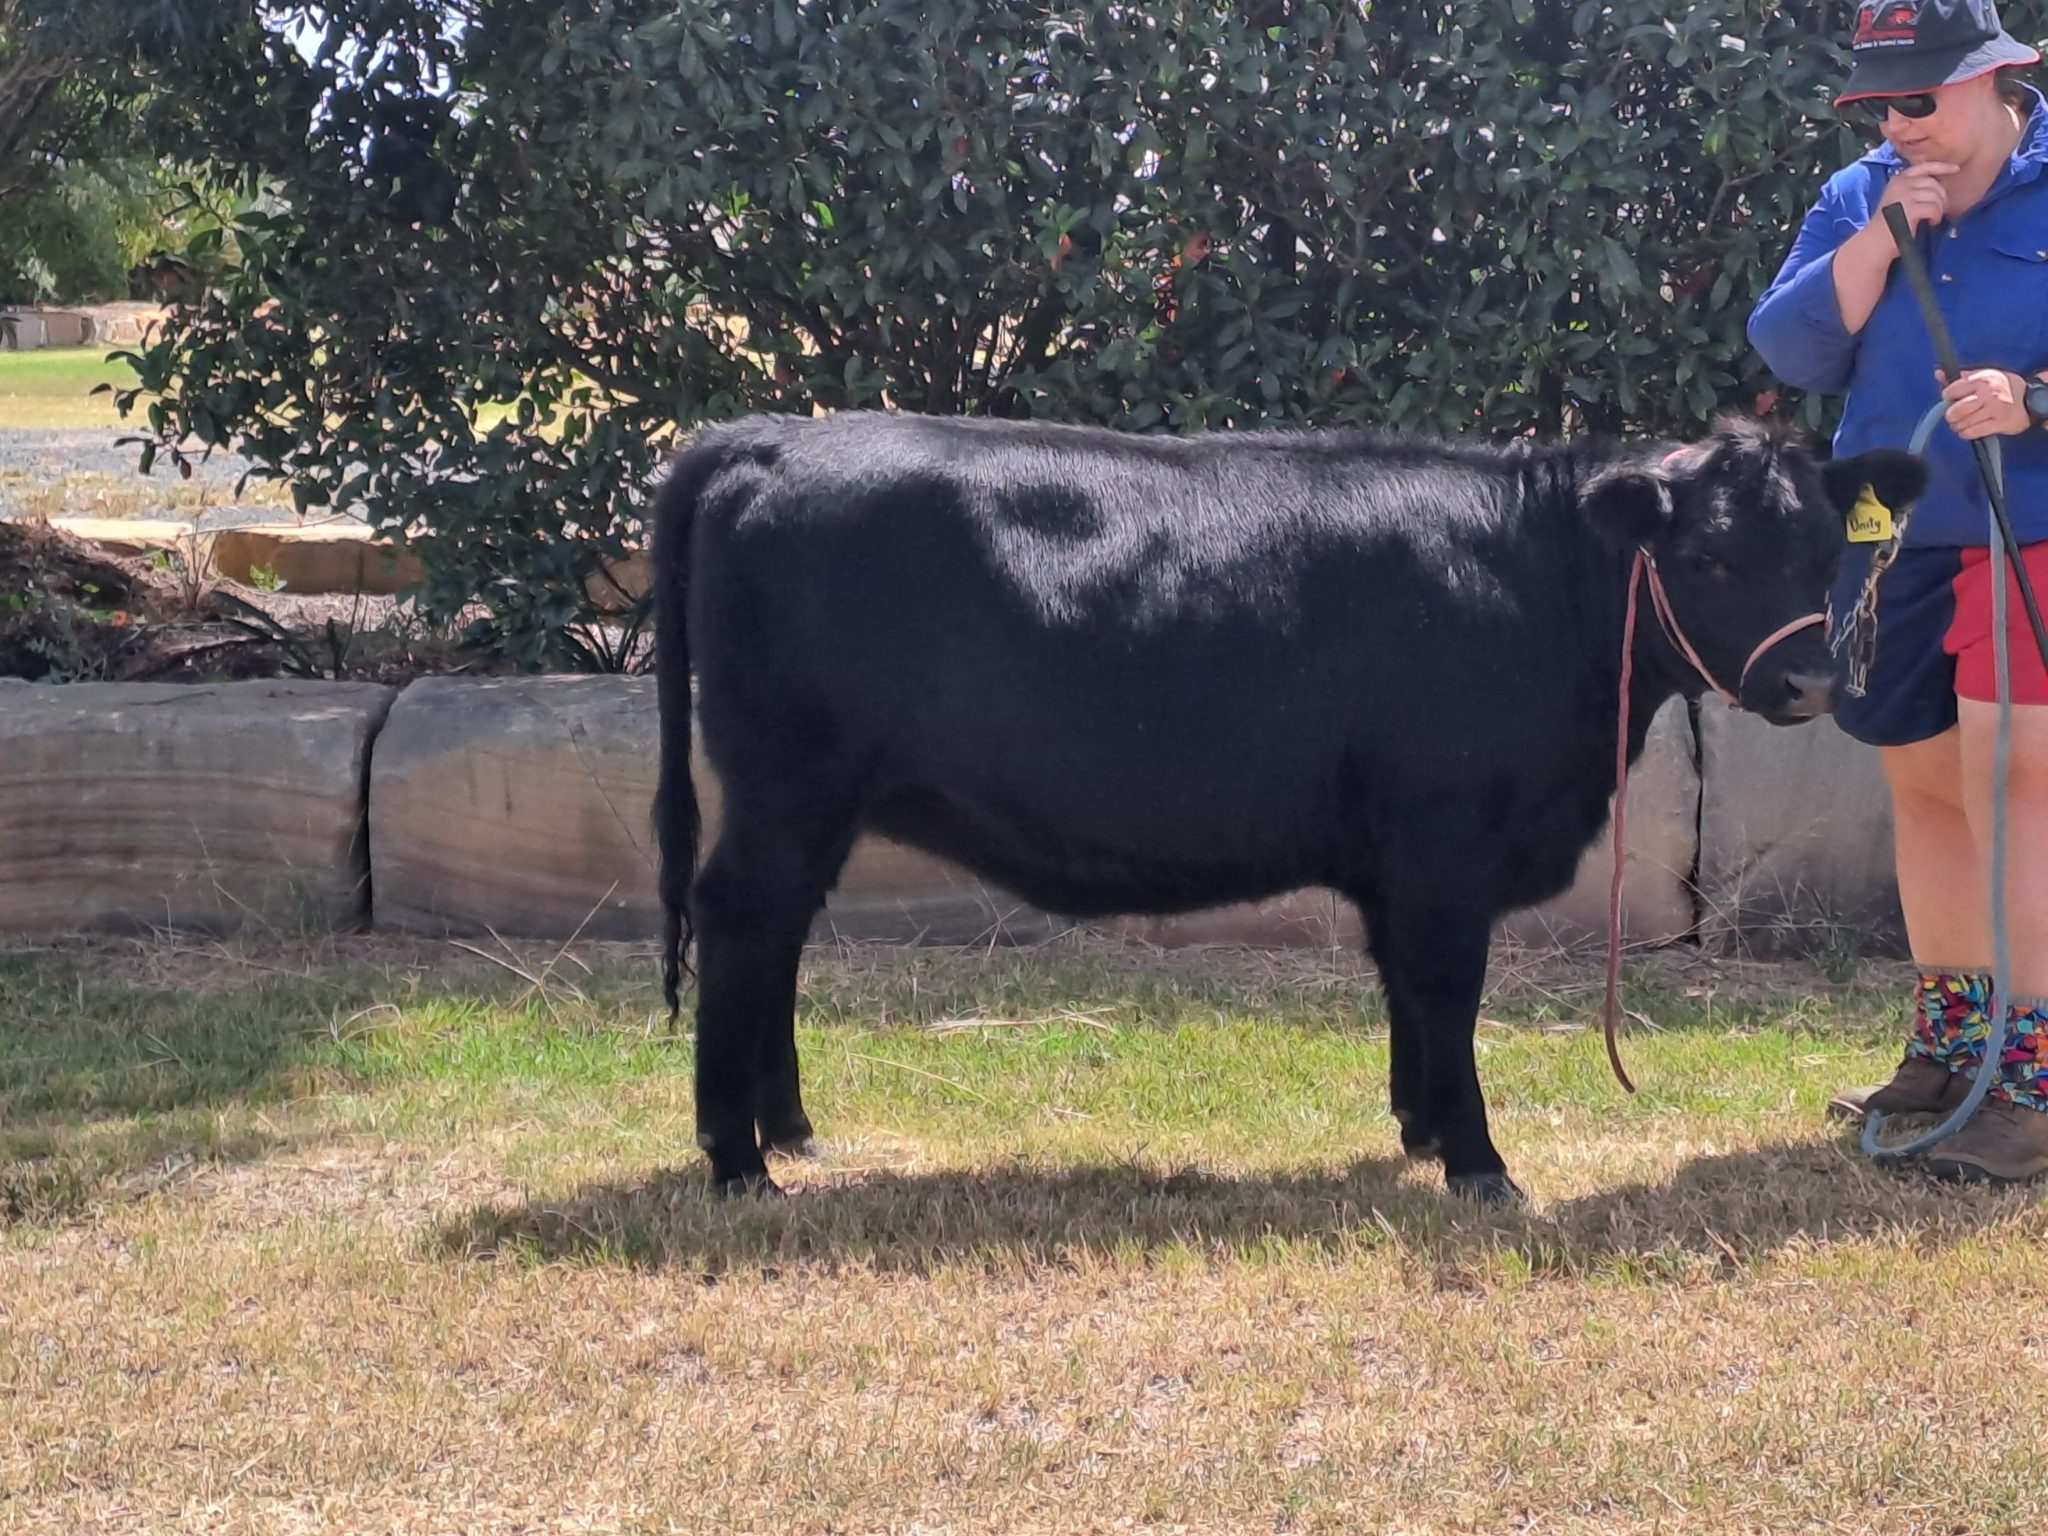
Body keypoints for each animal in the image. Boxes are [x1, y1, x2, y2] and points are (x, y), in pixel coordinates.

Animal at [650, 411, 1925, 1203]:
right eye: (1705, 560)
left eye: (1824, 550)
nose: (1811, 683)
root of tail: (766, 437)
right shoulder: (1444, 834)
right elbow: (1444, 986)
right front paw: (1477, 1162)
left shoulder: (1395, 852)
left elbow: (1404, 985)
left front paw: (1419, 1128)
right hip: (787, 784)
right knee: (743, 922)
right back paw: (736, 1161)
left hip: (813, 797)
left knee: (777, 936)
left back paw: (786, 1130)